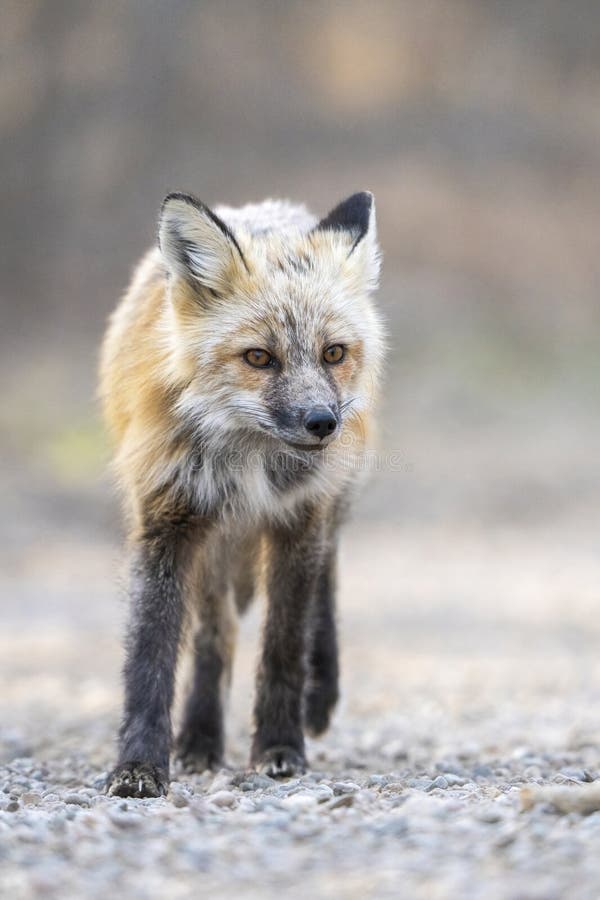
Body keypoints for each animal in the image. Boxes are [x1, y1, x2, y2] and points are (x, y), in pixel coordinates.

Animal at [99, 190, 384, 797]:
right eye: (258, 357)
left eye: (333, 353)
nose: (321, 423)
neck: (248, 463)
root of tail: (270, 209)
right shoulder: (168, 520)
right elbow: (151, 655)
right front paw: (140, 766)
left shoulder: (298, 519)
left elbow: (283, 644)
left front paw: (279, 746)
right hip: (214, 545)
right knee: (216, 633)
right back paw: (201, 737)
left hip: (330, 503)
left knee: (325, 586)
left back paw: (319, 695)